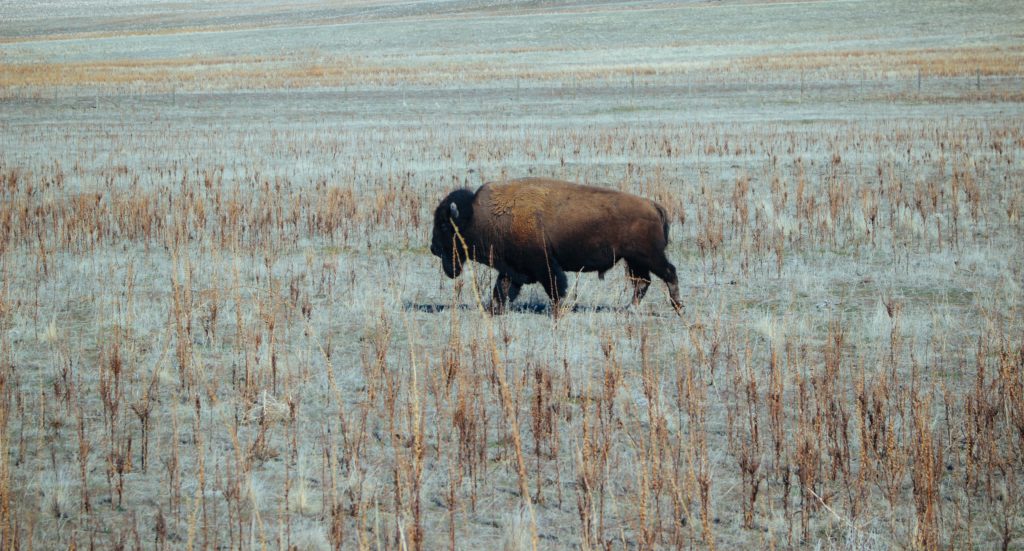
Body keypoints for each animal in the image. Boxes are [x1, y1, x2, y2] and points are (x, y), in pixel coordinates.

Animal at [429, 177, 682, 314]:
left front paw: (558, 311)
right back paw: (630, 308)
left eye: (443, 224)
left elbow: (555, 287)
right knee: (643, 282)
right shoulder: (511, 268)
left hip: (649, 257)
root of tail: (653, 205)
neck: (476, 216)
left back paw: (678, 306)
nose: (433, 247)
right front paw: (494, 310)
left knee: (668, 273)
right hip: (635, 260)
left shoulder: (544, 264)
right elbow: (501, 289)